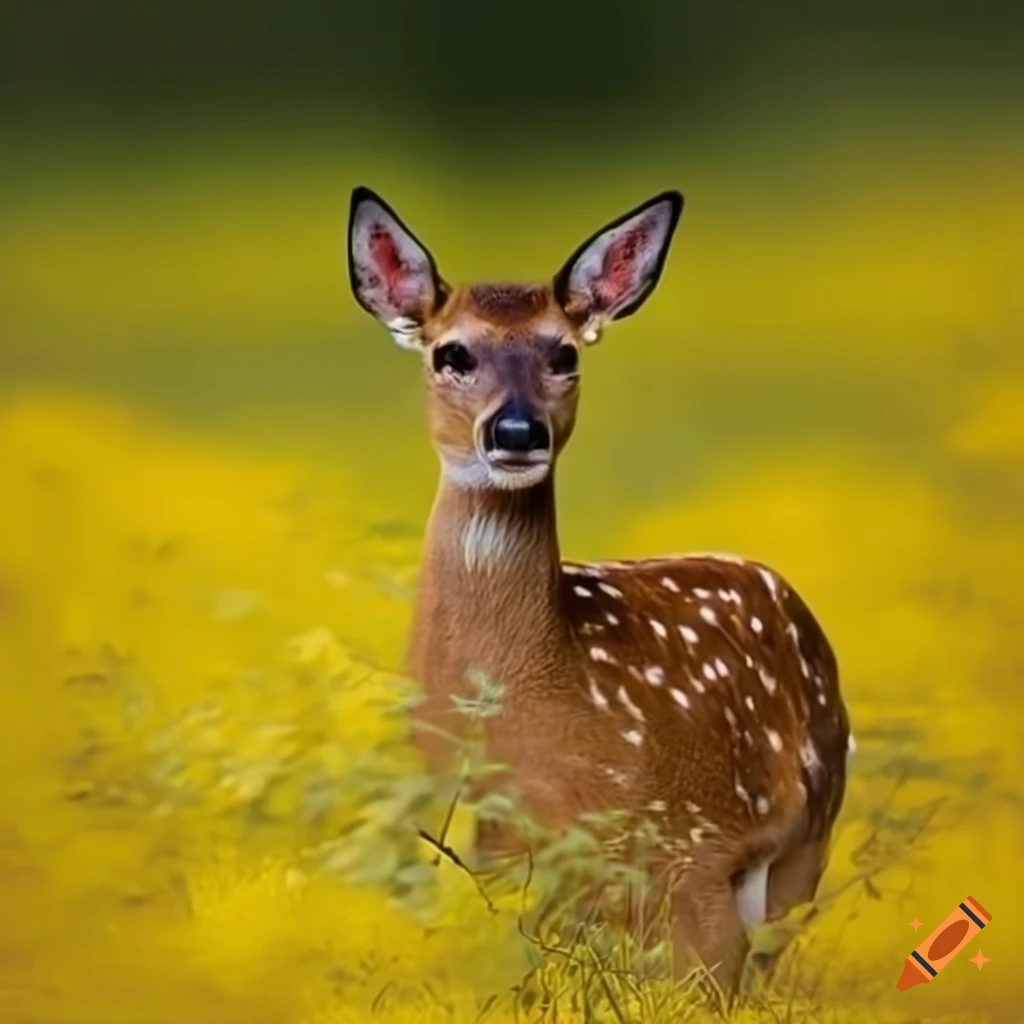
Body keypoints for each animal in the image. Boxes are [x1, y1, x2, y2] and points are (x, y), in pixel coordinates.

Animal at [348, 180, 851, 995]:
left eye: (563, 353)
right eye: (451, 352)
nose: (516, 432)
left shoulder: (691, 845)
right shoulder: (495, 853)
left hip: (809, 825)